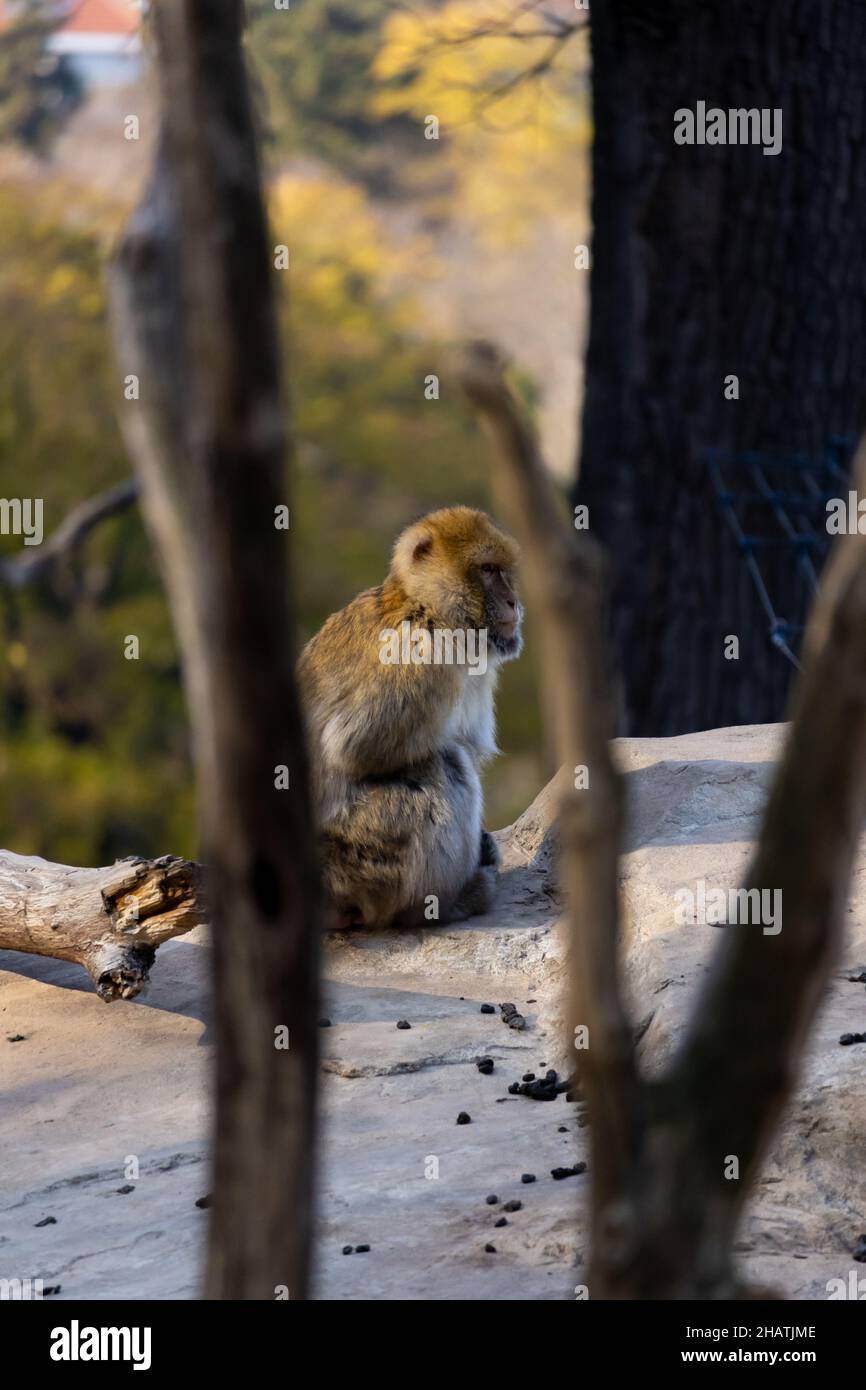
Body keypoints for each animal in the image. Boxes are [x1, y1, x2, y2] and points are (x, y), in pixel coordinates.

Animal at [297, 507, 523, 929]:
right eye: (487, 569)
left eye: (504, 570)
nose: (514, 601)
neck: (425, 606)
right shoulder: (421, 654)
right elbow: (355, 745)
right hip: (366, 859)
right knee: (444, 762)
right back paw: (442, 904)